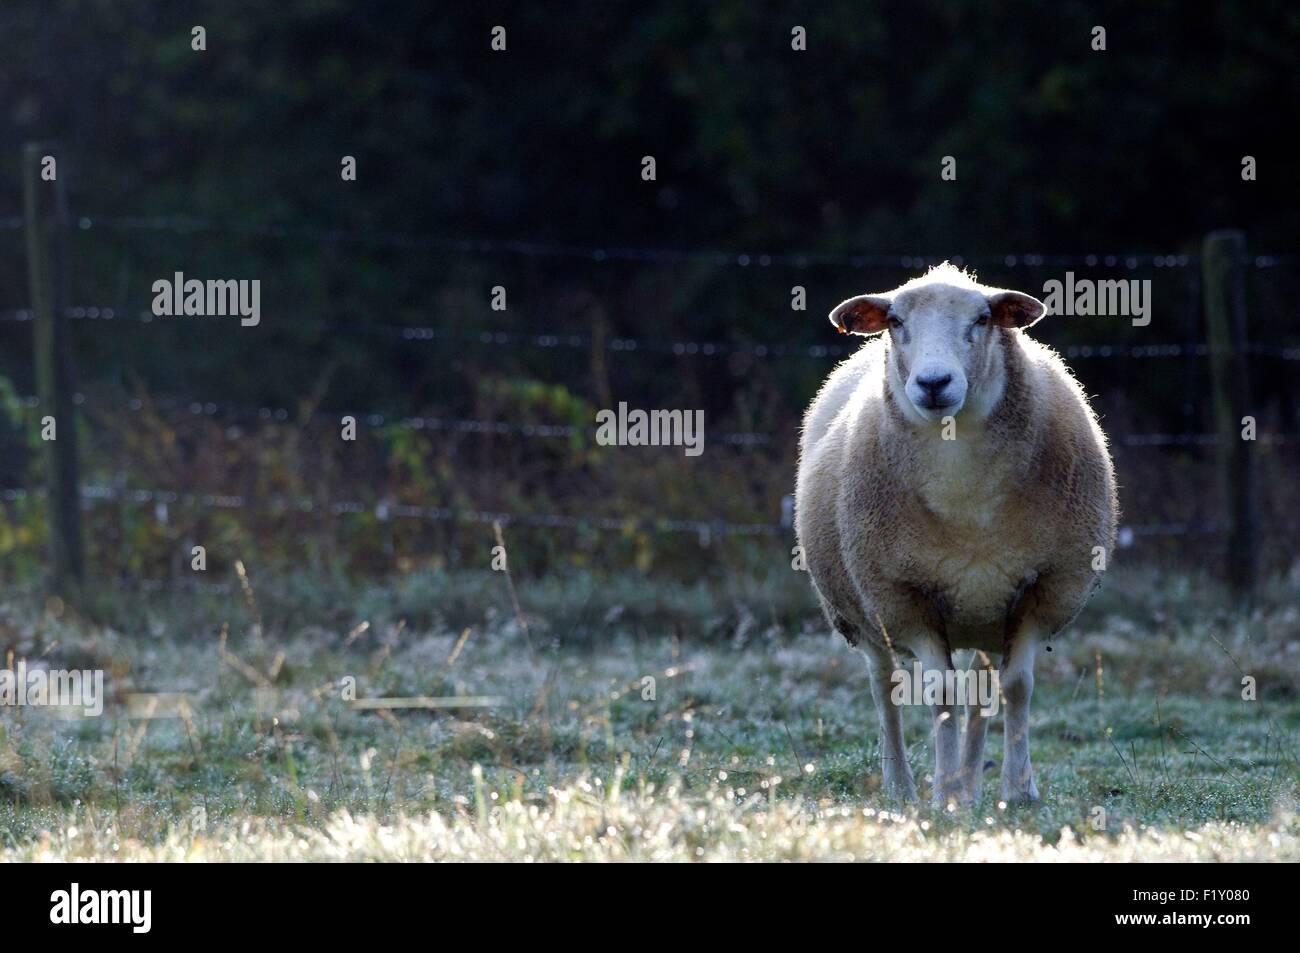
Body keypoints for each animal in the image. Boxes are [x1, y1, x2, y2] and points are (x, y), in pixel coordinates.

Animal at [794, 263, 1117, 805]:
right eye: (895, 322)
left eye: (983, 319)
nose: (933, 382)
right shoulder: (904, 596)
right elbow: (939, 693)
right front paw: (941, 795)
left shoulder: (1041, 587)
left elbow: (1015, 687)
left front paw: (1018, 790)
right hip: (862, 611)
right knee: (884, 685)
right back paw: (902, 786)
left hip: (982, 607)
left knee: (982, 687)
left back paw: (971, 786)